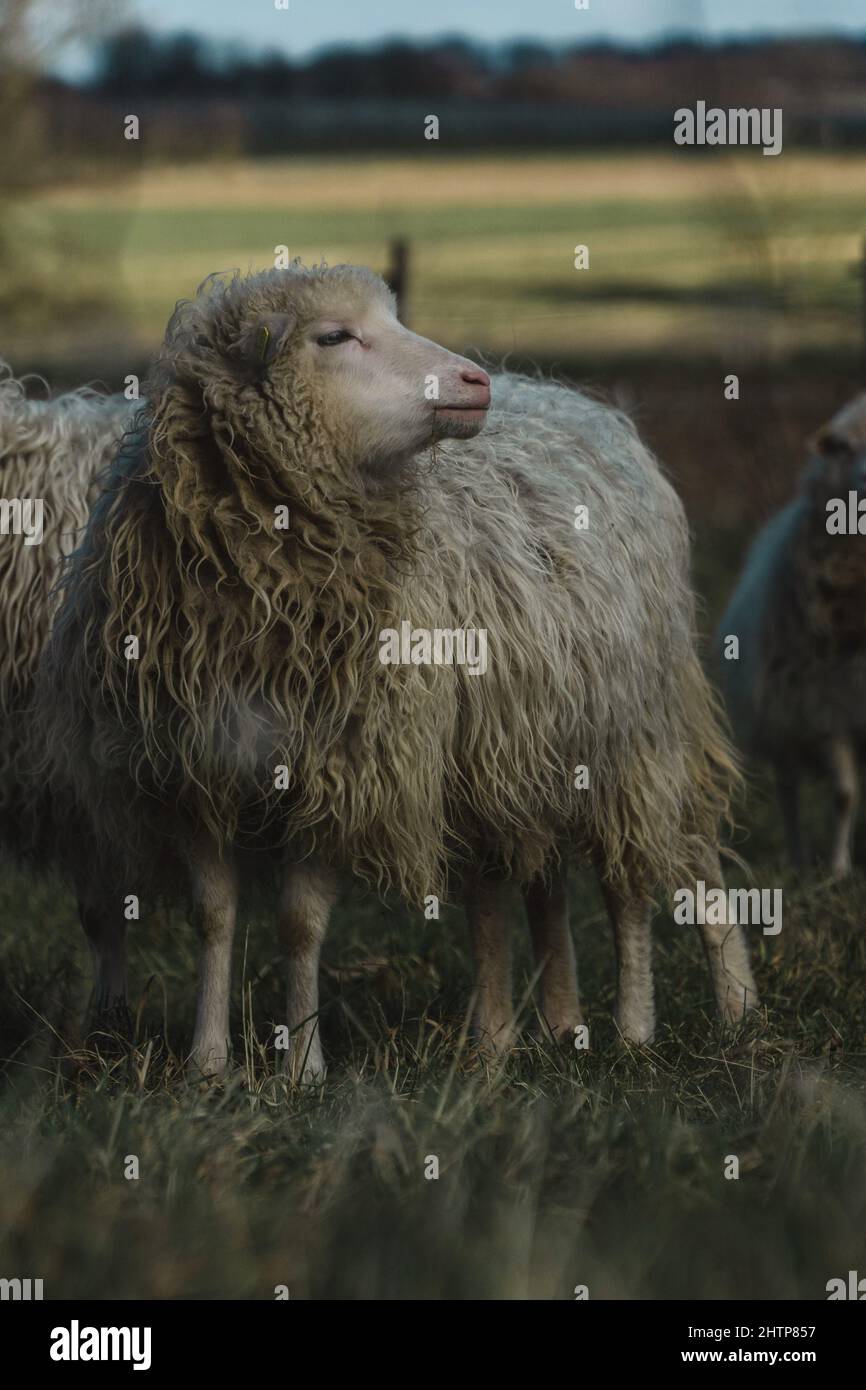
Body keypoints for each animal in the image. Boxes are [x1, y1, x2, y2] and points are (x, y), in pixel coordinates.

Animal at [34, 262, 757, 1078]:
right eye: (333, 336)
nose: (475, 381)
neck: (269, 593)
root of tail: (580, 403)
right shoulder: (193, 772)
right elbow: (213, 916)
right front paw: (209, 1062)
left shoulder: (341, 765)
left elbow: (300, 924)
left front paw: (302, 1066)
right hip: (519, 743)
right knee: (523, 885)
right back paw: (538, 1031)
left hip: (637, 729)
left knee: (644, 875)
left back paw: (681, 1018)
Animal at [716, 392, 866, 878]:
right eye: (843, 448)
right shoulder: (825, 707)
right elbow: (843, 794)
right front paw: (837, 871)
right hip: (782, 715)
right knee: (789, 792)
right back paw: (799, 861)